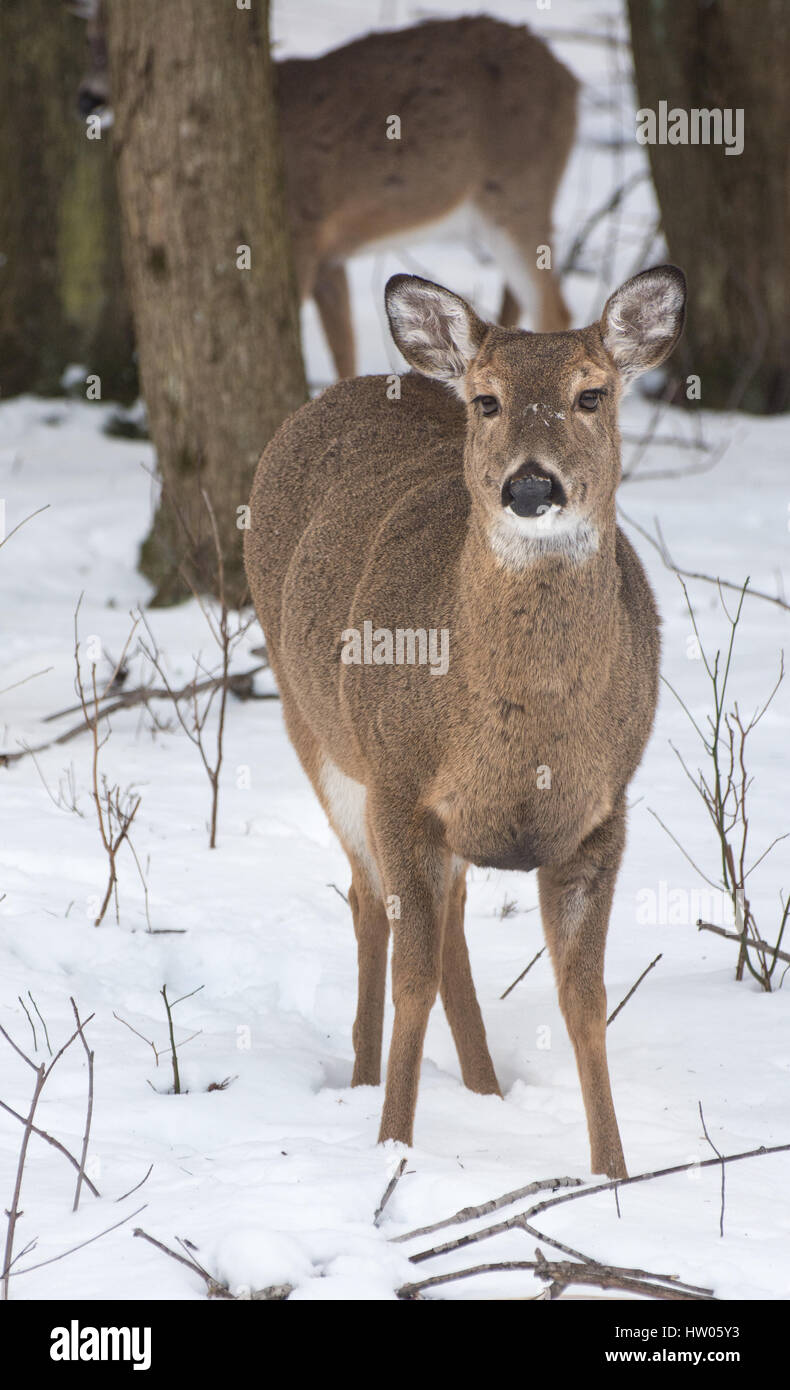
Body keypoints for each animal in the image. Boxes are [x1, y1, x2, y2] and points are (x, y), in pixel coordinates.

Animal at [74, 5, 578, 378]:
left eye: (115, 49)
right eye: (90, 37)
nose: (86, 98)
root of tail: (570, 81)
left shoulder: (299, 234)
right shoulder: (330, 256)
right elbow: (344, 356)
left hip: (518, 192)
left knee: (555, 308)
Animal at [244, 264, 686, 1179]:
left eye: (592, 394)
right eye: (486, 400)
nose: (531, 485)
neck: (524, 734)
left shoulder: (602, 812)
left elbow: (583, 997)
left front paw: (613, 1173)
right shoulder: (399, 783)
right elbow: (412, 977)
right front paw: (392, 1147)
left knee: (444, 922)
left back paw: (484, 1090)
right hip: (318, 730)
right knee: (368, 900)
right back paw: (362, 1079)